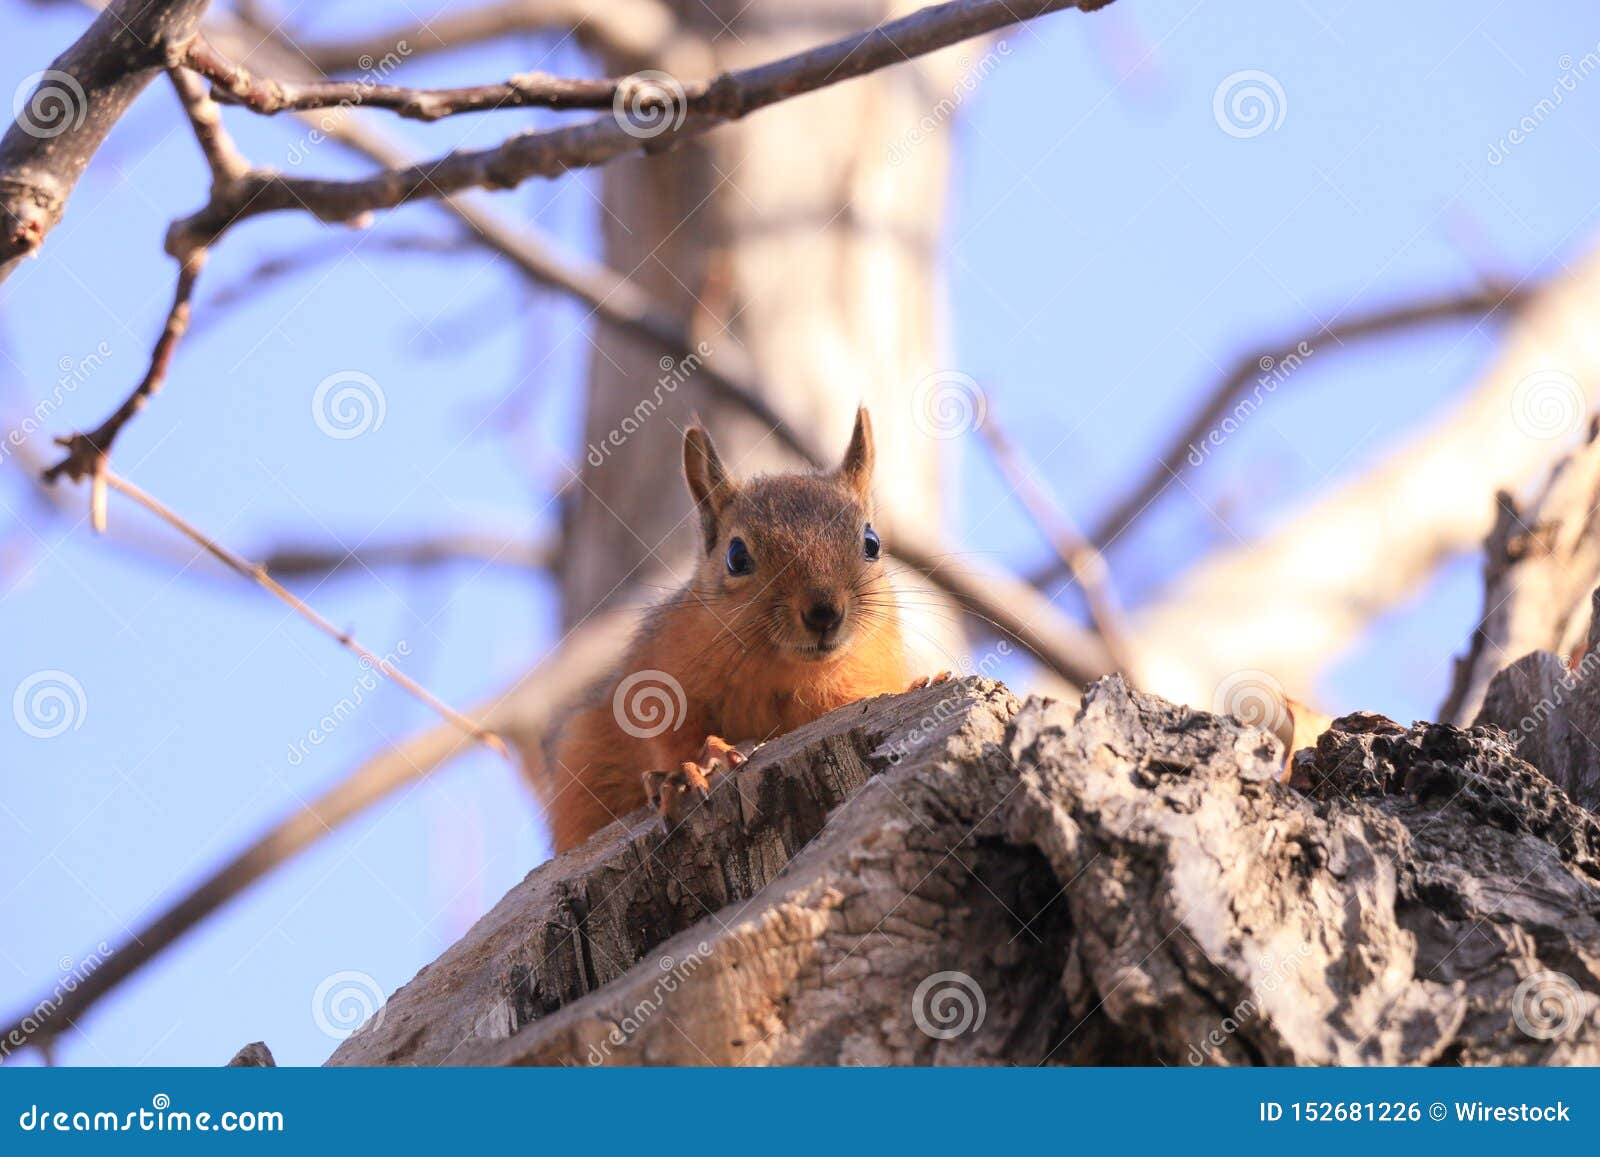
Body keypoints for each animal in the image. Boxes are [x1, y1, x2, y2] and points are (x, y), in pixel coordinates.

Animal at [539, 407, 943, 853]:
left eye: (871, 543)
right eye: (736, 556)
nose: (824, 613)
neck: (784, 671)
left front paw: (924, 682)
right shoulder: (652, 683)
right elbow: (670, 739)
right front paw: (696, 763)